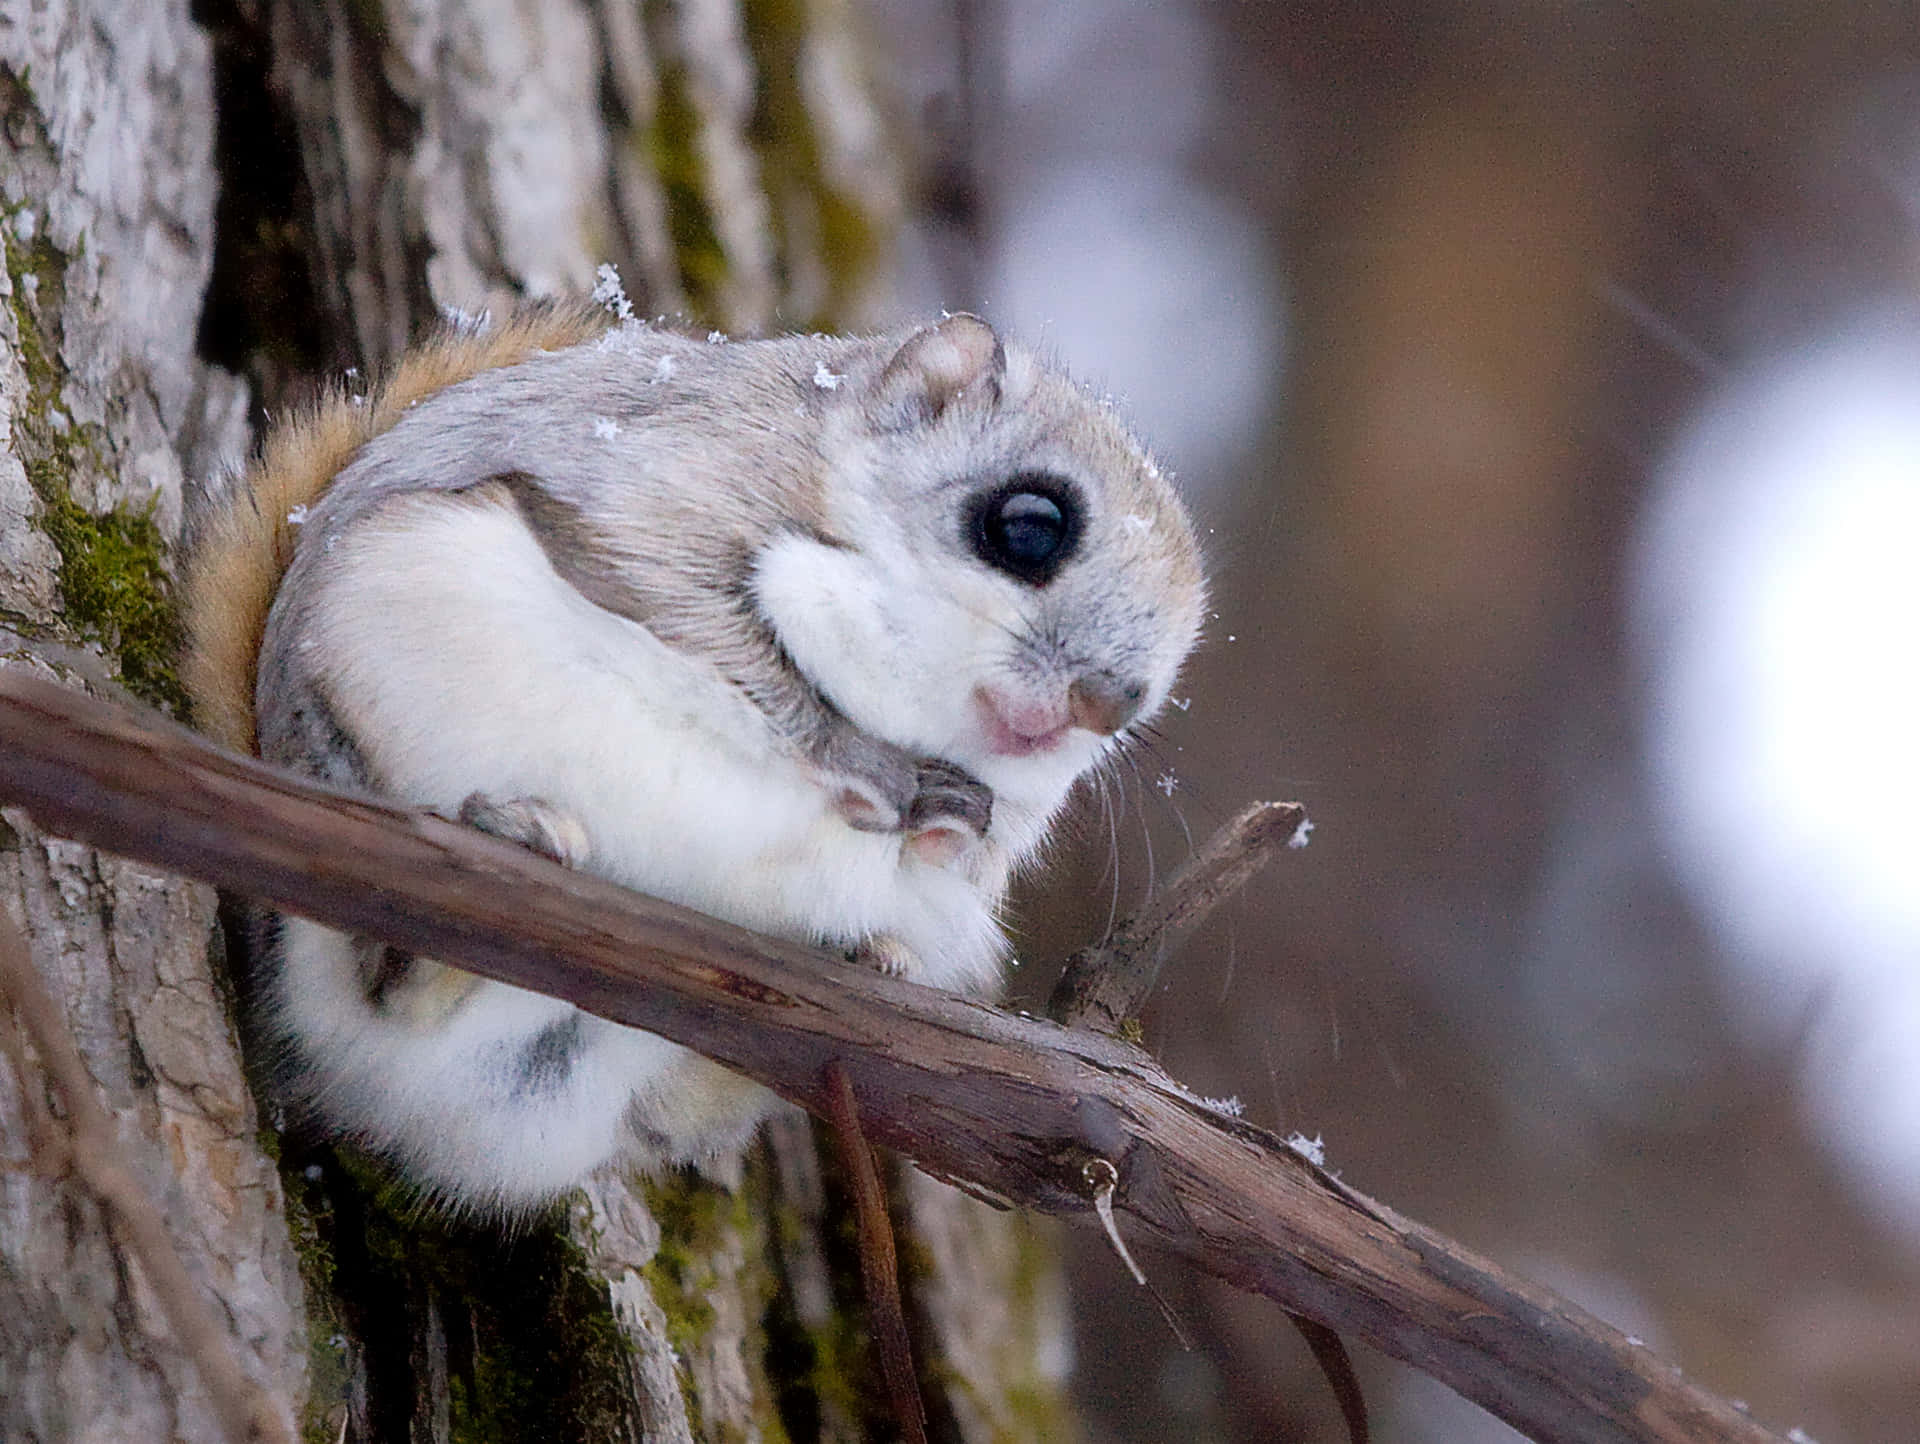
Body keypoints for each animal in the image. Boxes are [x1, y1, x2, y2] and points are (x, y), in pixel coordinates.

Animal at [183, 296, 1205, 1213]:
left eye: (1158, 688)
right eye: (1029, 524)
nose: (1109, 703)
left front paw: (950, 828)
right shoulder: (666, 496)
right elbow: (716, 634)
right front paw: (869, 767)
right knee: (379, 982)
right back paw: (497, 850)